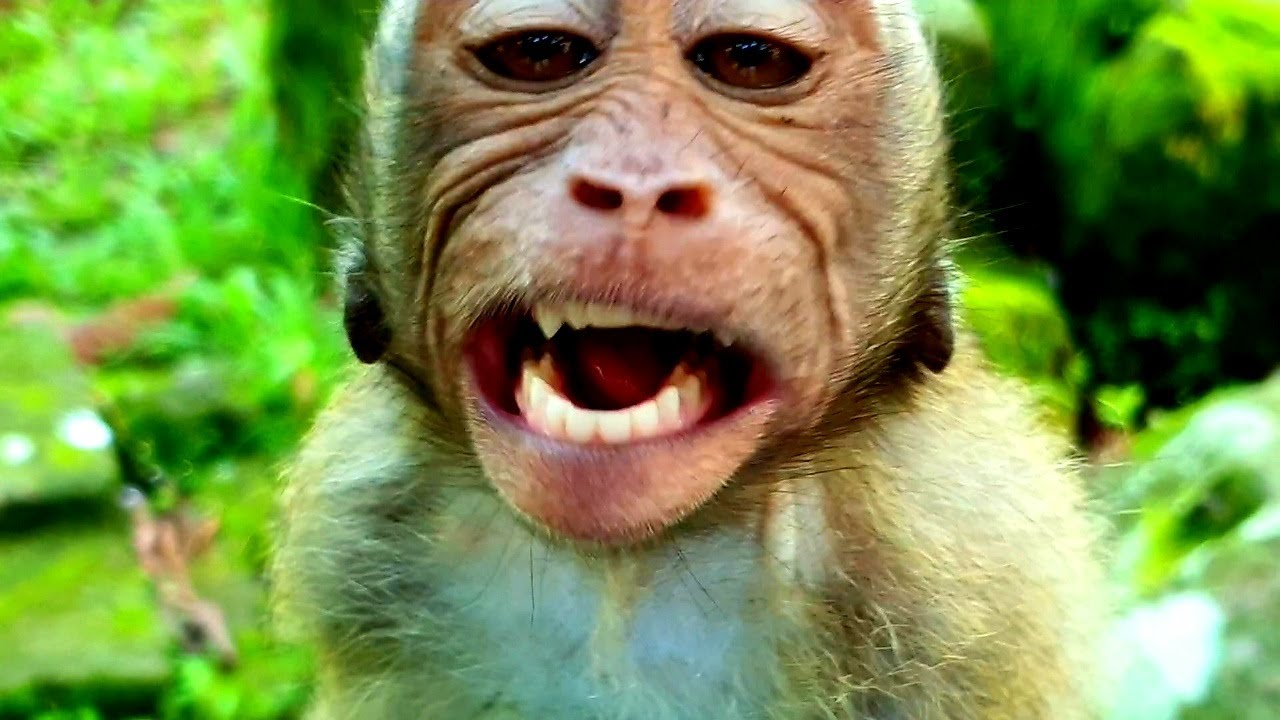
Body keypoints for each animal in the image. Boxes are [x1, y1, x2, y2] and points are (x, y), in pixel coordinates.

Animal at [272, 1, 1109, 718]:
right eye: (539, 52)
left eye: (750, 59)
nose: (635, 184)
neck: (627, 571)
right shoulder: (354, 537)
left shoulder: (967, 573)